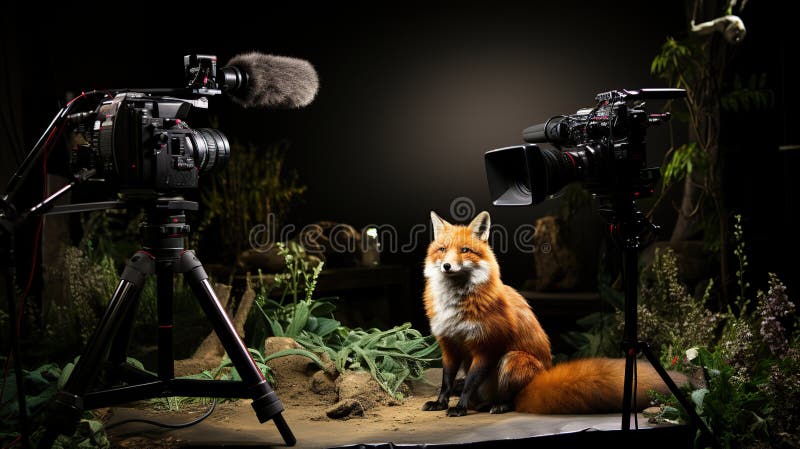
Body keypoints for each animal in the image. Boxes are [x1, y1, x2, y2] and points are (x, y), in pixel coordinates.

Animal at [422, 210, 685, 416]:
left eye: (465, 250)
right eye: (442, 250)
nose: (447, 266)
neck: (456, 305)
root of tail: (540, 380)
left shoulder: (486, 345)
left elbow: (469, 383)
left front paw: (459, 407)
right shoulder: (449, 344)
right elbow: (446, 381)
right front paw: (440, 403)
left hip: (512, 360)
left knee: (512, 400)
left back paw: (498, 405)